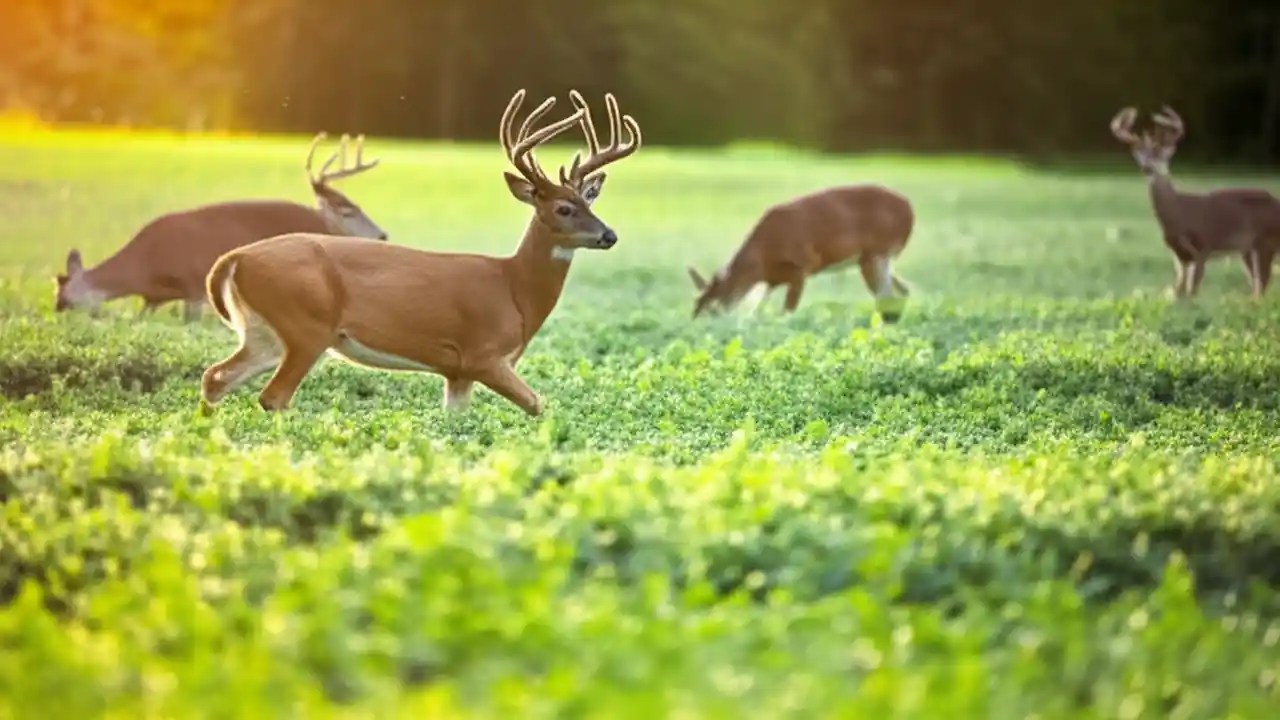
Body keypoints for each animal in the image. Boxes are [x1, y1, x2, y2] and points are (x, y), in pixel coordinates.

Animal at [198, 88, 641, 416]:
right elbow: (538, 405)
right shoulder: (482, 355)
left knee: (215, 377)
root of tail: (234, 259)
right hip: (306, 326)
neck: (515, 291)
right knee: (272, 396)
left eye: (590, 201)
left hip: (264, 331)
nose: (609, 235)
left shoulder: (457, 373)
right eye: (564, 208)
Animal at [686, 184, 915, 322]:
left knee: (885, 294)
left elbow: (787, 311)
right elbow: (760, 309)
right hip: (875, 257)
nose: (696, 321)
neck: (762, 258)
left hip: (877, 252)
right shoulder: (771, 280)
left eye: (713, 309)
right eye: (696, 304)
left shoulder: (802, 265)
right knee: (902, 289)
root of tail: (910, 208)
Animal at [1110, 105, 1280, 299]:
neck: (1178, 214)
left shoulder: (1203, 247)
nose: (1147, 169)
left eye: (1162, 157)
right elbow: (1180, 292)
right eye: (1142, 158)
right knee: (1258, 285)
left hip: (1265, 241)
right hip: (1248, 249)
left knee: (1262, 282)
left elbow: (1192, 291)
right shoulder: (1179, 255)